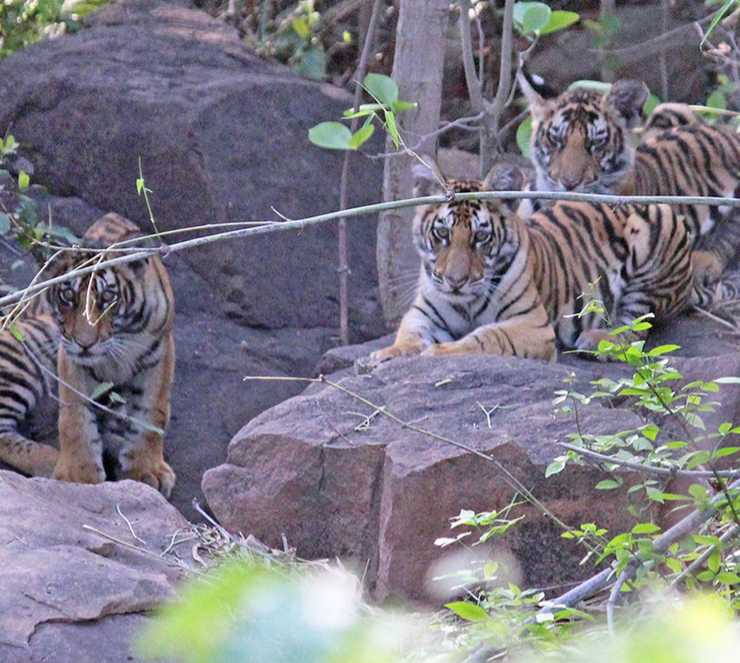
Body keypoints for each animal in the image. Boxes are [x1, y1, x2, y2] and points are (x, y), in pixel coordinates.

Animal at [0, 213, 176, 497]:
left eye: (108, 297)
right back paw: (50, 459)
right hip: (25, 351)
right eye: (67, 296)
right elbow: (76, 421)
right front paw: (78, 476)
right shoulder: (70, 358)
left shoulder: (158, 353)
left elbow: (151, 414)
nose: (85, 343)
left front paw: (147, 470)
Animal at [370, 156, 693, 364]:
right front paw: (385, 354)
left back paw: (597, 341)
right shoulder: (423, 312)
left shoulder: (532, 325)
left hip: (658, 238)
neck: (466, 303)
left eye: (481, 237)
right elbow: (408, 333)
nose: (456, 281)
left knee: (636, 328)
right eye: (442, 233)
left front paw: (439, 352)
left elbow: (486, 337)